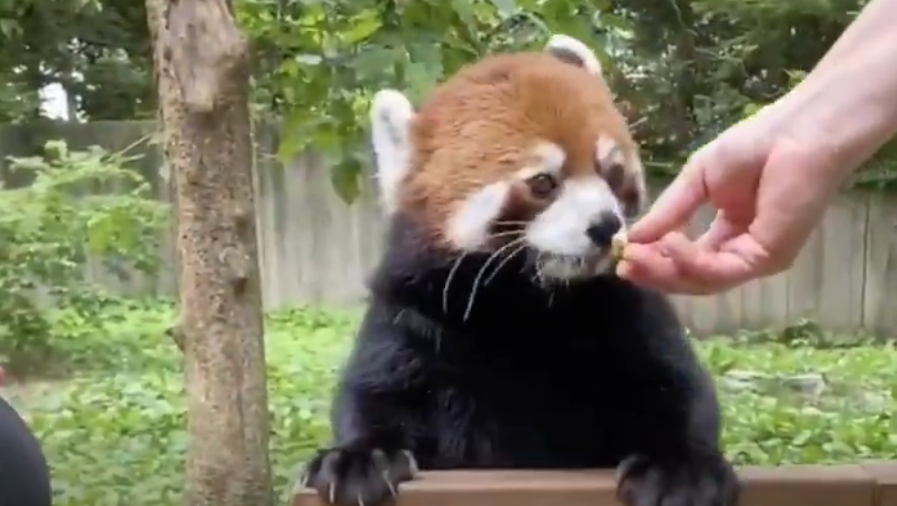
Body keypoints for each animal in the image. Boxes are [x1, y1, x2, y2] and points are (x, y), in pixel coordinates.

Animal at [301, 34, 740, 506]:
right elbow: (371, 394)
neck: (525, 304)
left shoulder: (629, 309)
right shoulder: (410, 310)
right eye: (543, 183)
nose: (606, 225)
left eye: (612, 172)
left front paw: (681, 466)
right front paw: (358, 457)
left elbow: (679, 386)